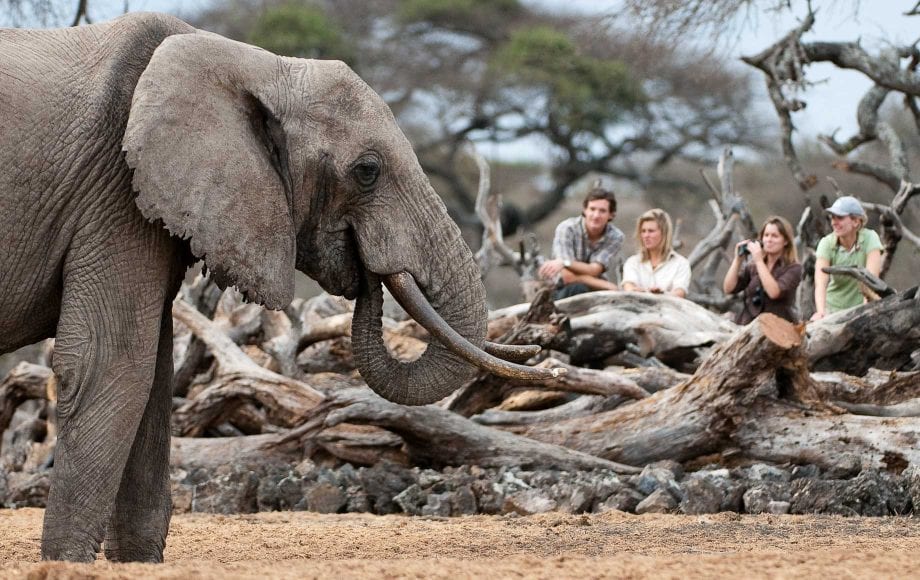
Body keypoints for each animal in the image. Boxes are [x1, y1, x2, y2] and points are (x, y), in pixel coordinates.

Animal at [0, 12, 558, 562]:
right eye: (368, 171)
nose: (544, 352)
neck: (260, 66)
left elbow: (151, 377)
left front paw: (136, 565)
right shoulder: (114, 192)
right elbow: (110, 365)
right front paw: (65, 566)